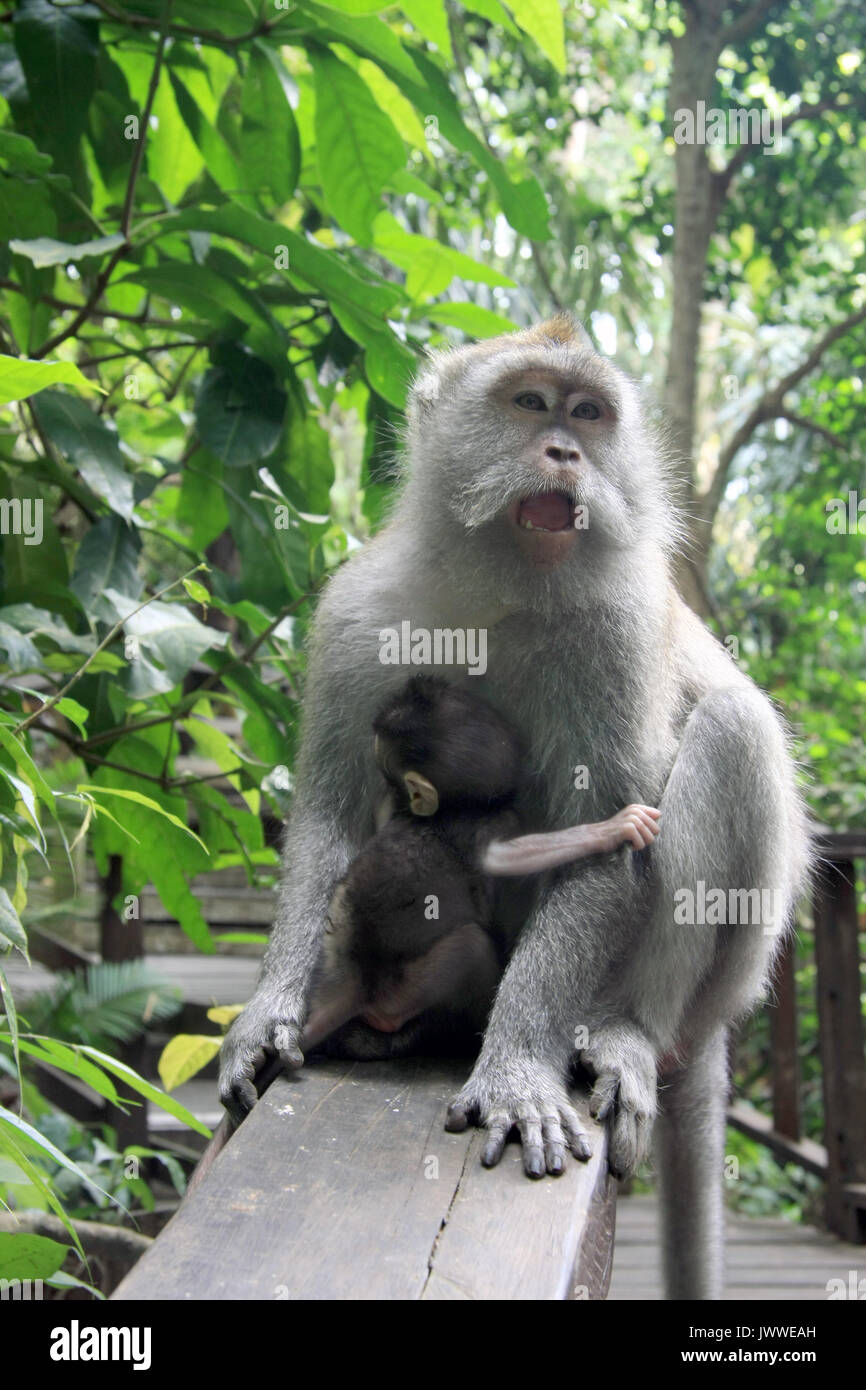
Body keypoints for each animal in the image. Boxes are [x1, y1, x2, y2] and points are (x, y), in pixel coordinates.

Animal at [219, 313, 811, 1299]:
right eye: (532, 402)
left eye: (591, 414)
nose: (565, 451)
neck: (500, 579)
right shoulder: (356, 613)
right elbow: (330, 818)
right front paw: (270, 1010)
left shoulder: (615, 627)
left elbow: (610, 837)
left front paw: (516, 1070)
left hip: (726, 978)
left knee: (733, 731)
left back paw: (624, 1033)